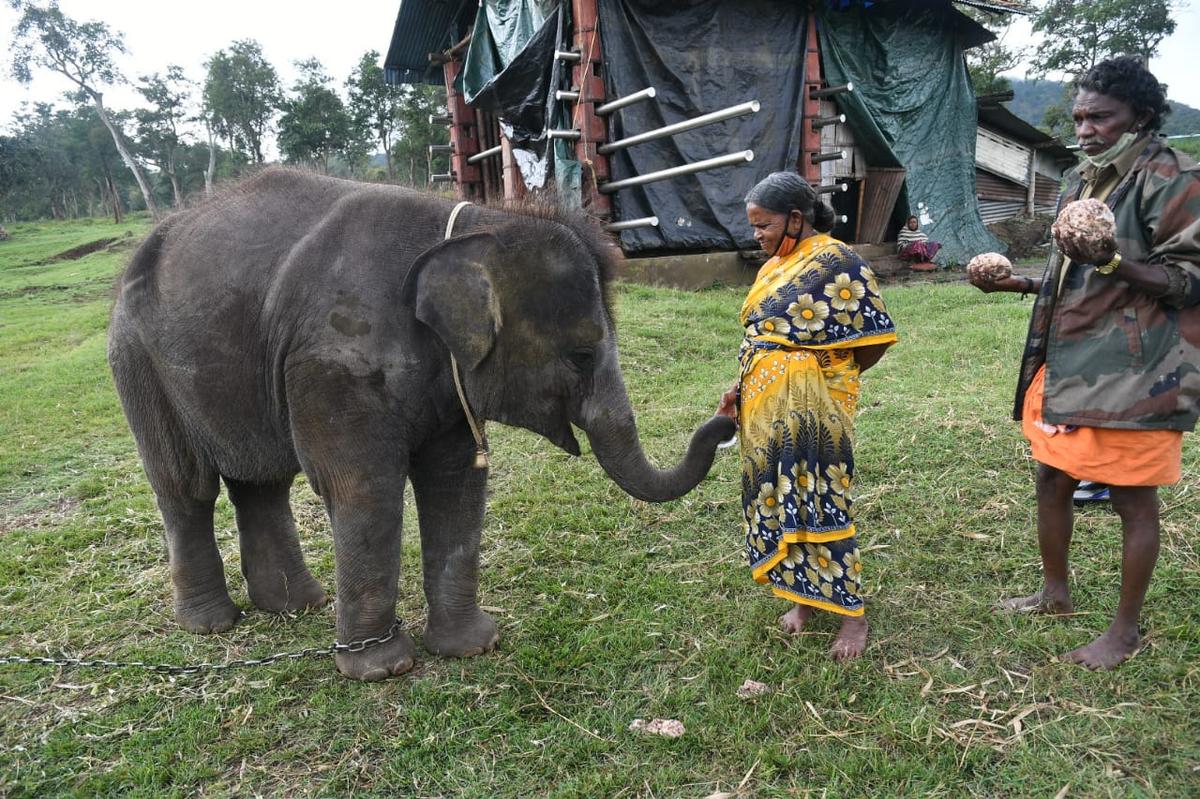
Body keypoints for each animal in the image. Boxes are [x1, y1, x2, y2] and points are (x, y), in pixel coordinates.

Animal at [107, 167, 735, 681]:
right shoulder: (334, 362)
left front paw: (472, 647)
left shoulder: (446, 381)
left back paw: (299, 606)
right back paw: (212, 625)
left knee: (261, 483)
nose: (727, 415)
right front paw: (384, 670)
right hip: (138, 363)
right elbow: (365, 487)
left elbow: (455, 480)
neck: (472, 225)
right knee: (186, 486)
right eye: (581, 356)